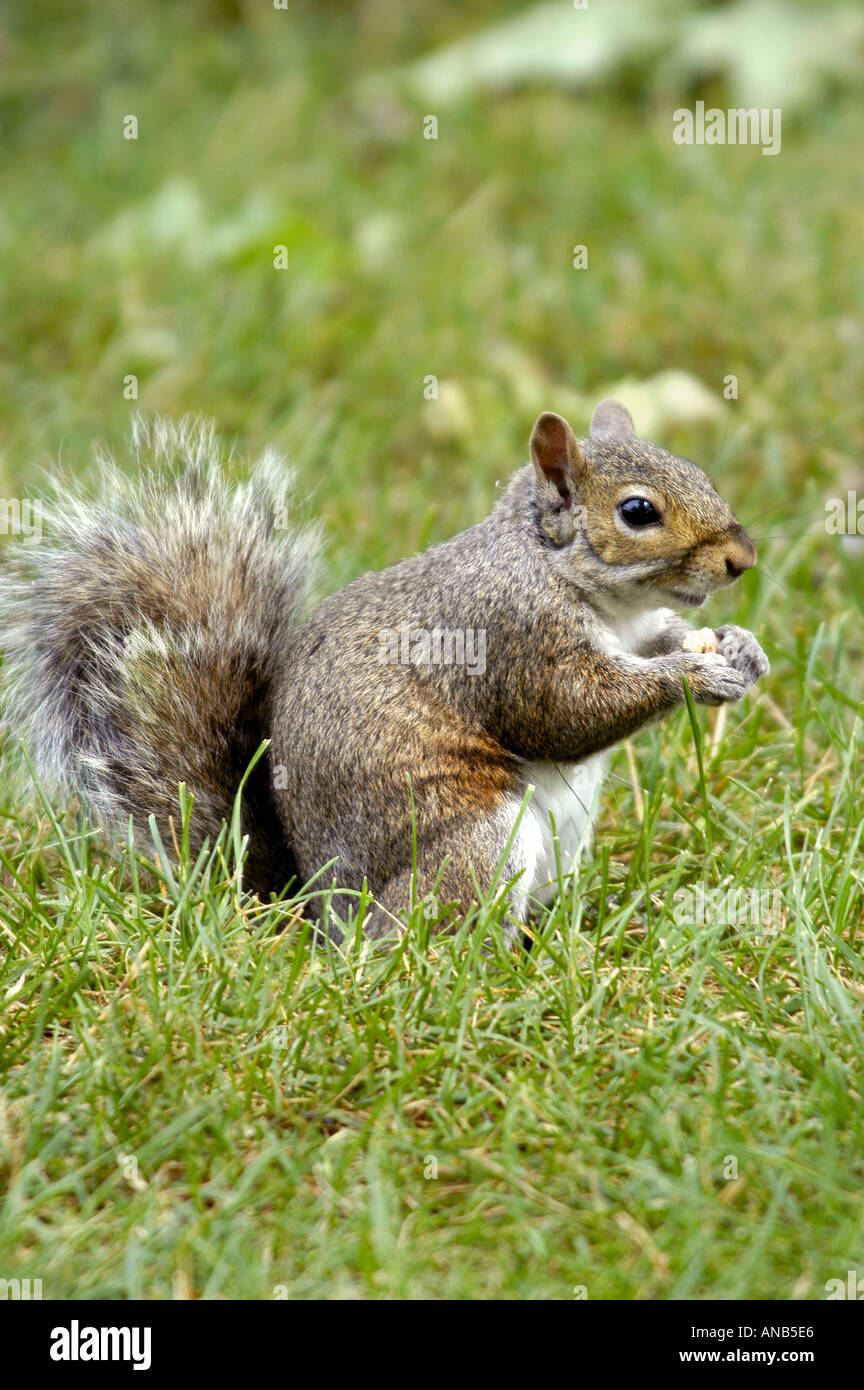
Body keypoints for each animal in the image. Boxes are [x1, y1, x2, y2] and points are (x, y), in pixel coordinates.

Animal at [0, 402, 769, 942]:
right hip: (474, 843)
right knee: (418, 936)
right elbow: (567, 714)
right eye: (638, 511)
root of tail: (315, 909)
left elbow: (663, 642)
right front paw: (694, 678)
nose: (743, 559)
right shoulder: (510, 634)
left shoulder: (636, 628)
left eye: (701, 474)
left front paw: (740, 648)